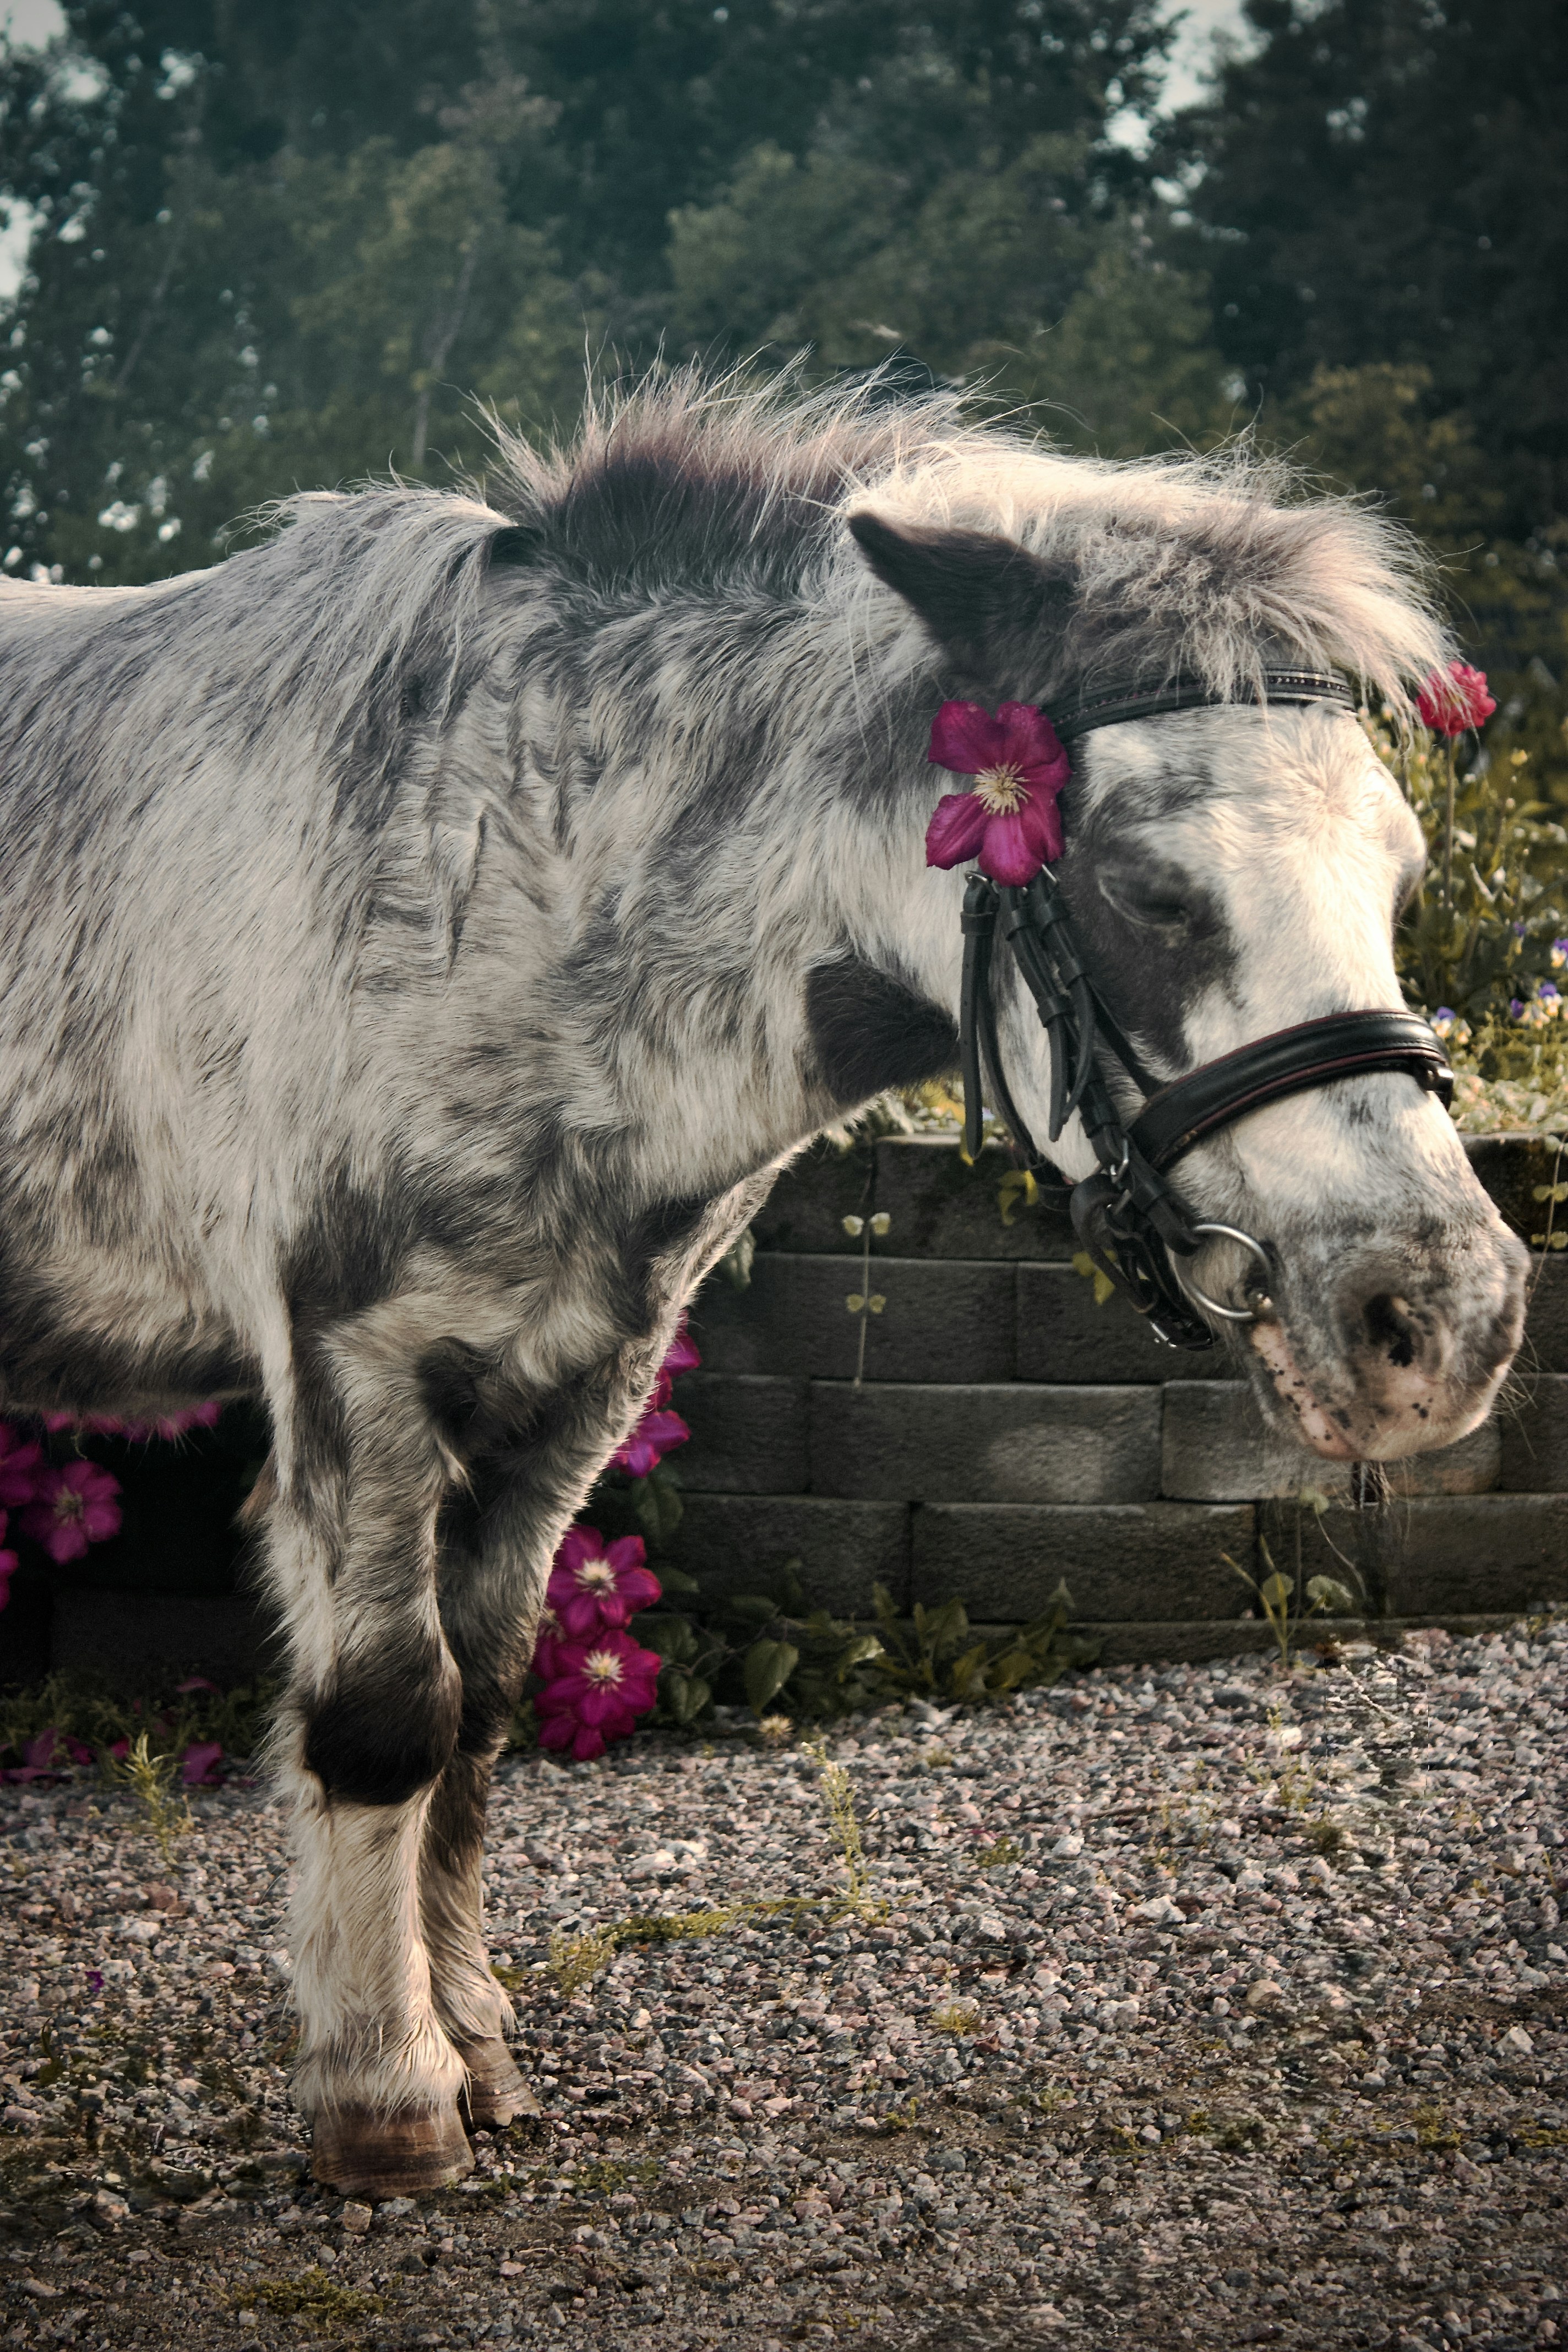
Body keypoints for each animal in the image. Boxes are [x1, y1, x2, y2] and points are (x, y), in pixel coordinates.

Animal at [0, 373, 1526, 2196]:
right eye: (1150, 888)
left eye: (1404, 874)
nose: (1444, 1318)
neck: (484, 871)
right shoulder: (354, 1367)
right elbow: (385, 1714)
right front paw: (385, 2095)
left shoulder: (576, 1377)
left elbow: (482, 1697)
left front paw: (474, 2041)